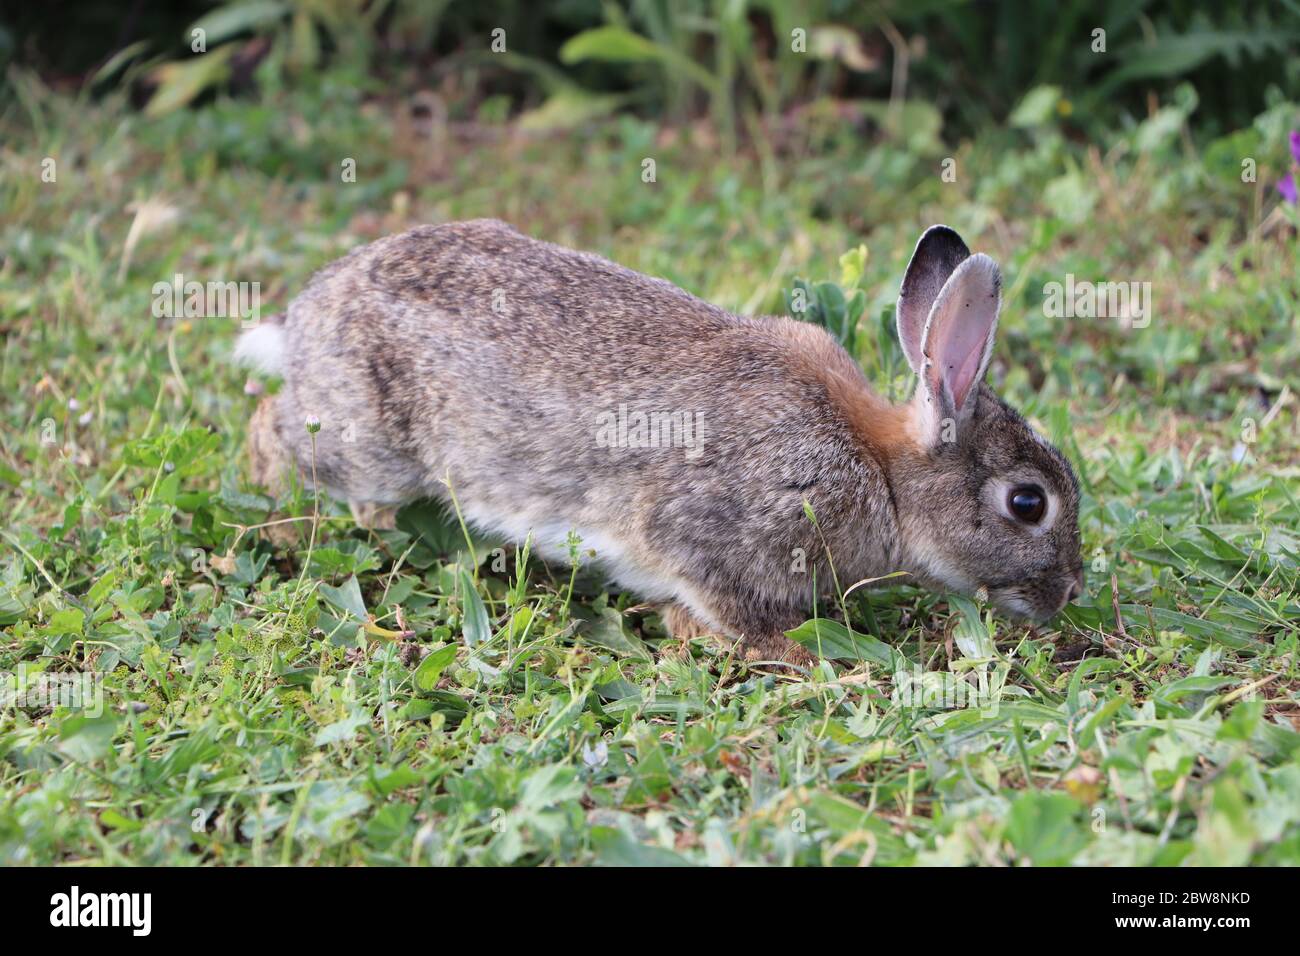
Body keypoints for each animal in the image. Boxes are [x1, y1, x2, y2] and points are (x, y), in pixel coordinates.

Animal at [234, 219, 1083, 667]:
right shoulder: (716, 532)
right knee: (274, 430)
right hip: (370, 451)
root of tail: (307, 314)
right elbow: (721, 603)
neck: (882, 471)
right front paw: (800, 655)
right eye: (1027, 502)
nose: (1070, 591)